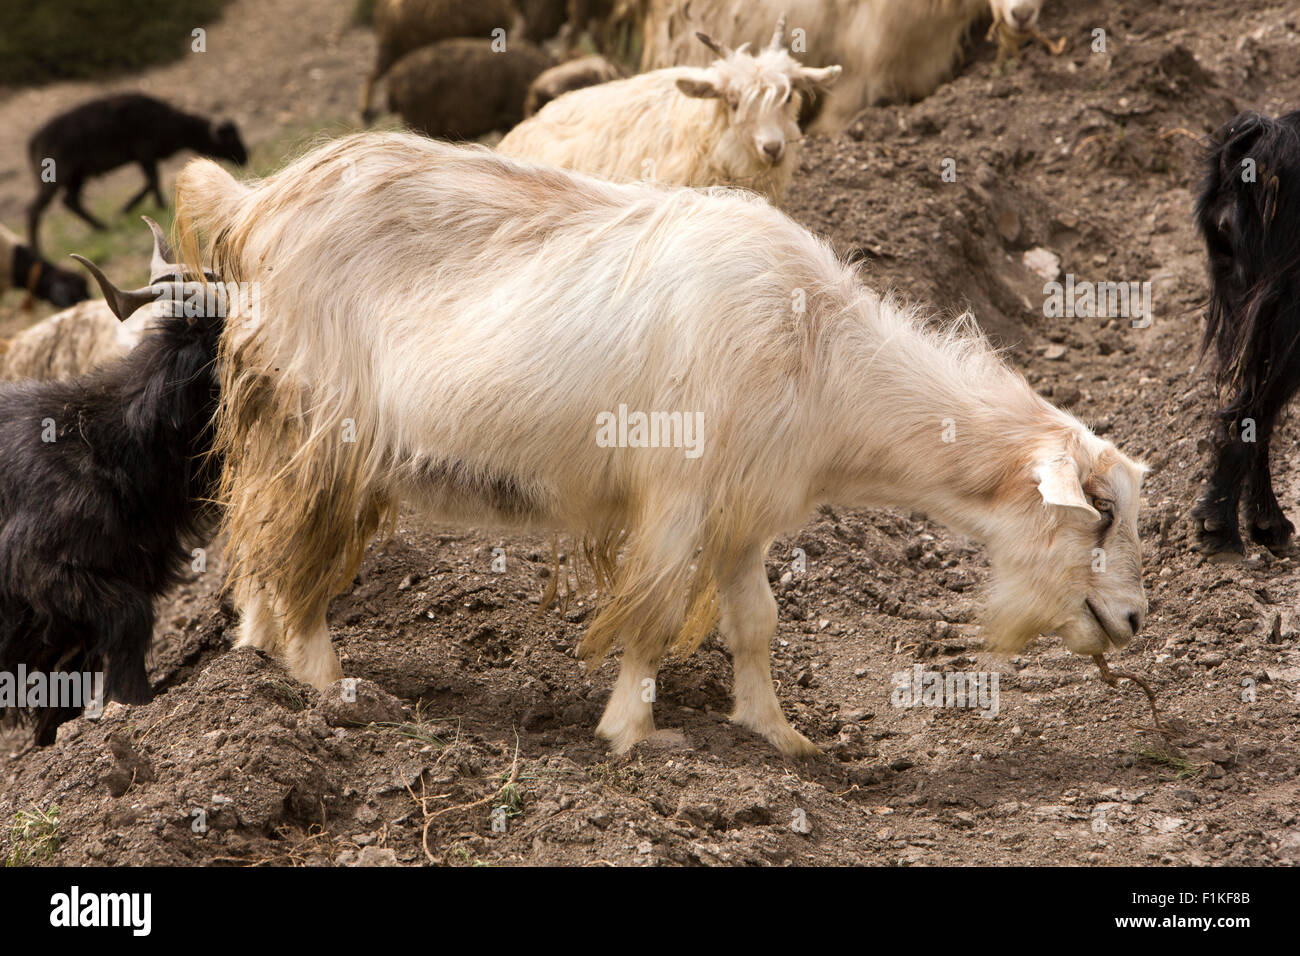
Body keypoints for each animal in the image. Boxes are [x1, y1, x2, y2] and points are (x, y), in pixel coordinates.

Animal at [26, 93, 247, 253]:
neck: (173, 124)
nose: (245, 157)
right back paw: (36, 249)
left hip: (77, 176)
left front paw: (128, 208)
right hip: (56, 175)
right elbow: (153, 180)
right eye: (230, 140)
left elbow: (150, 181)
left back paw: (102, 227)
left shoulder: (144, 156)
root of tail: (34, 141)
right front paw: (148, 205)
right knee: (35, 209)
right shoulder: (144, 152)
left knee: (71, 202)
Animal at [175, 131, 1146, 757]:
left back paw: (257, 663)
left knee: (259, 541)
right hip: (320, 428)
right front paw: (637, 737)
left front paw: (782, 736)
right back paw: (327, 683)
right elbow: (650, 612)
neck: (819, 355)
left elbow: (758, 621)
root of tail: (254, 206)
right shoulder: (678, 492)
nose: (1134, 620)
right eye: (1100, 515)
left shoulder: (746, 516)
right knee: (296, 554)